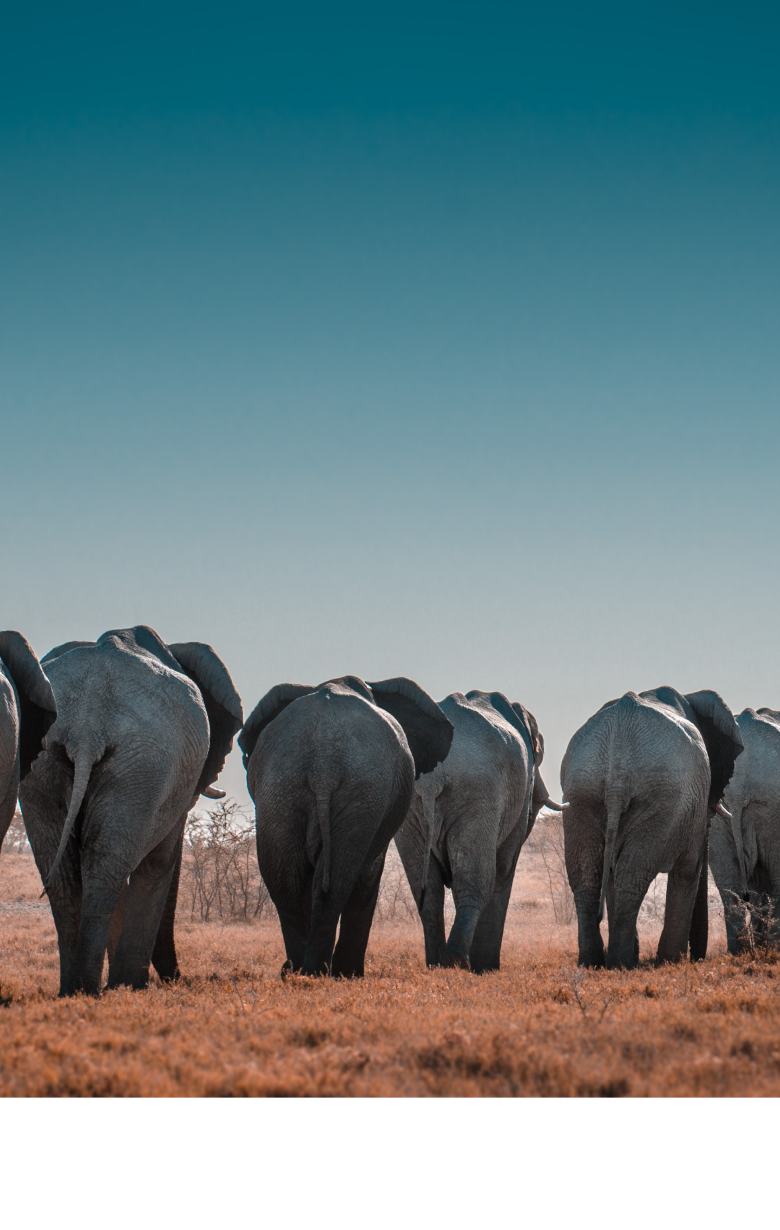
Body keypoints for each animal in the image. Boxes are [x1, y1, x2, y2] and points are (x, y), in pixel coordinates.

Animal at [19, 625, 243, 996]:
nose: (178, 978)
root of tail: (88, 723)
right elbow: (159, 862)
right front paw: (131, 986)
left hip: (48, 762)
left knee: (66, 872)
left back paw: (74, 990)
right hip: (146, 761)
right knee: (109, 867)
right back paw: (100, 987)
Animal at [238, 675, 453, 977]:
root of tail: (323, 765)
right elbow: (369, 873)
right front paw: (349, 975)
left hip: (281, 789)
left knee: (286, 882)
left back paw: (296, 971)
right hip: (360, 791)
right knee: (339, 879)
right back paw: (318, 972)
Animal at [394, 691, 562, 973]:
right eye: (539, 755)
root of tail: (433, 776)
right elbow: (504, 868)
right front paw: (487, 967)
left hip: (412, 807)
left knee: (427, 891)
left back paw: (436, 964)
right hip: (478, 793)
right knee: (478, 879)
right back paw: (459, 961)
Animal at [561, 687, 743, 969]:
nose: (698, 957)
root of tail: (617, 773)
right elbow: (688, 870)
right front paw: (672, 960)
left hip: (581, 790)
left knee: (588, 878)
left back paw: (593, 962)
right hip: (662, 799)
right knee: (632, 877)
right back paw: (621, 963)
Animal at [709, 708, 780, 954]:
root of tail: (739, 781)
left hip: (717, 813)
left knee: (730, 889)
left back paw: (739, 953)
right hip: (772, 805)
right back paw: (771, 948)